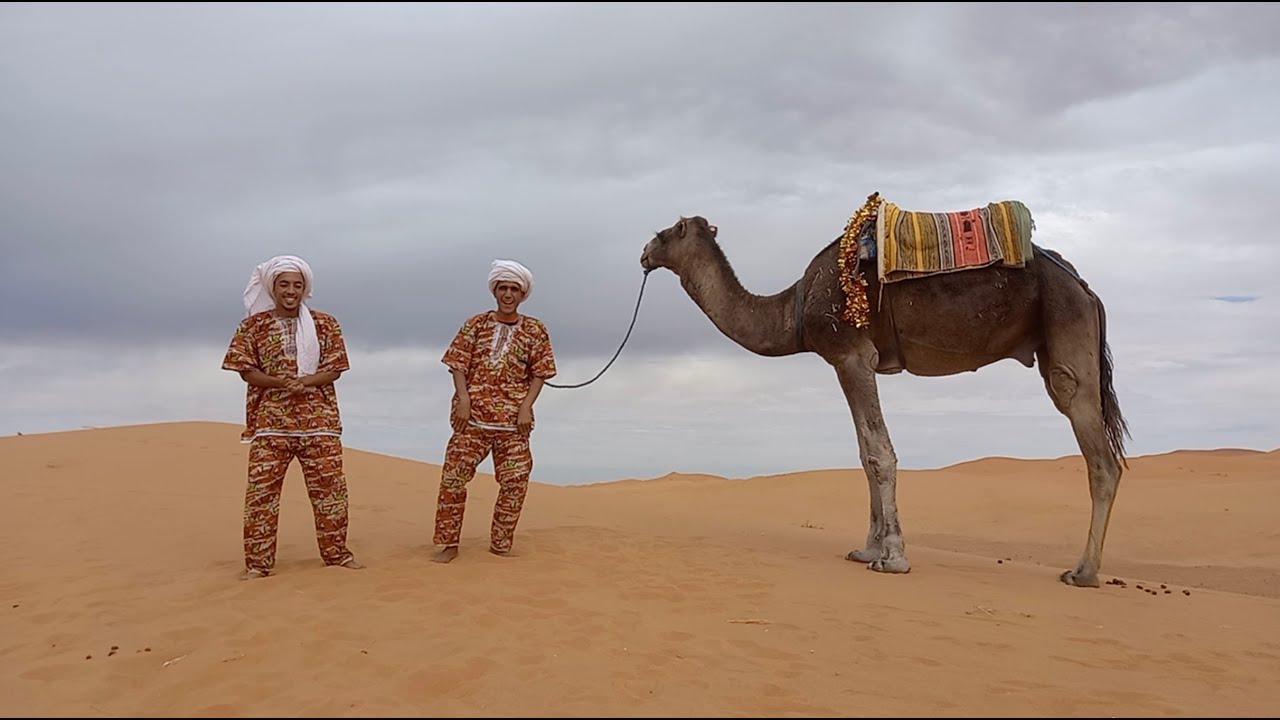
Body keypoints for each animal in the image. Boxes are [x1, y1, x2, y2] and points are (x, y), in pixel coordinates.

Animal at [639, 206, 1130, 587]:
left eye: (666, 232)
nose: (643, 251)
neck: (793, 308)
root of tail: (1085, 287)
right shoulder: (850, 361)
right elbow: (863, 454)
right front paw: (866, 550)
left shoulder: (851, 354)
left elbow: (879, 453)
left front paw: (892, 558)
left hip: (1066, 326)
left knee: (1097, 449)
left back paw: (1083, 572)